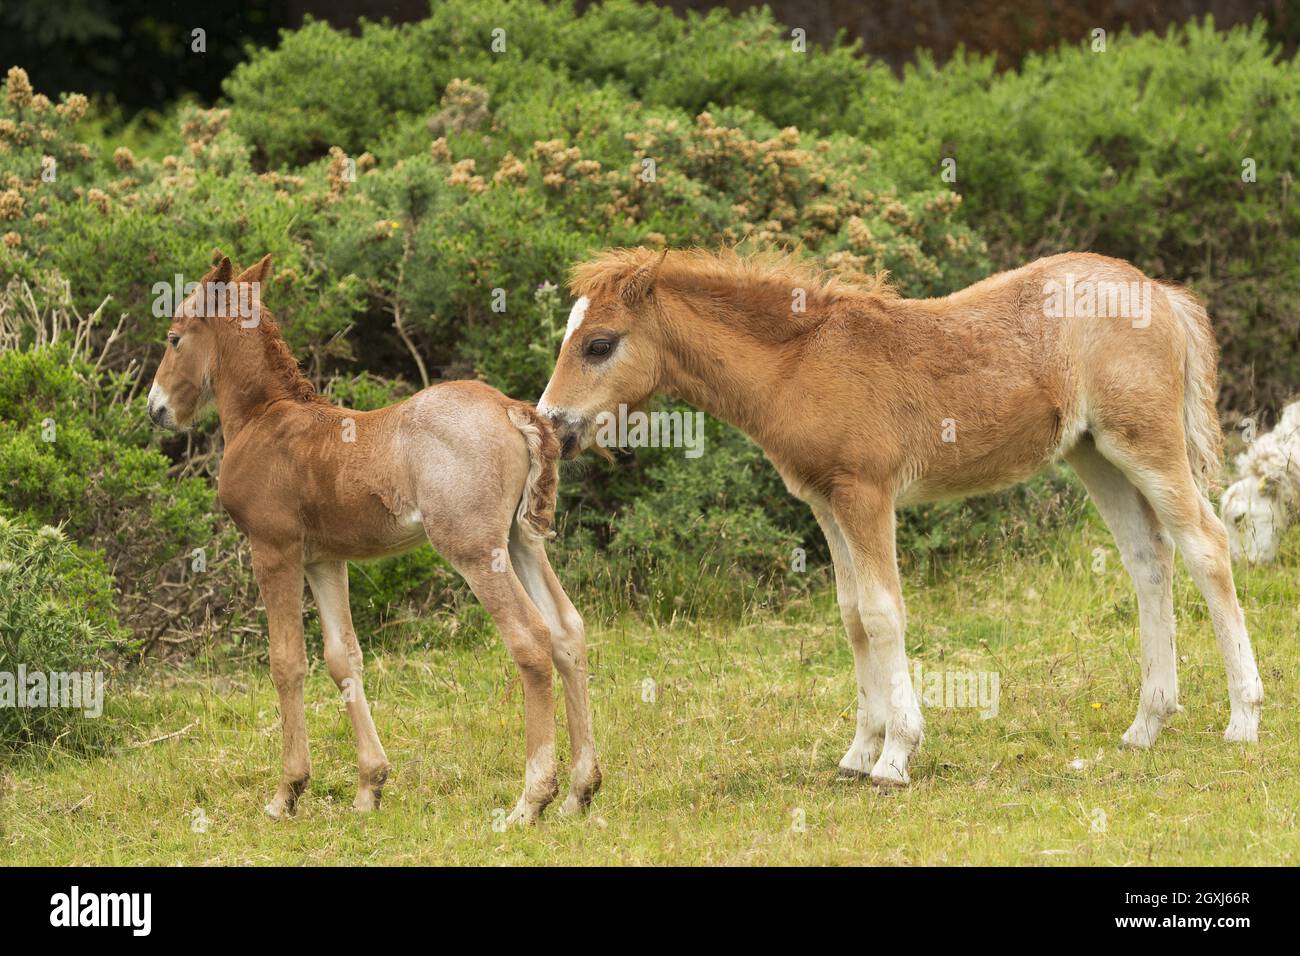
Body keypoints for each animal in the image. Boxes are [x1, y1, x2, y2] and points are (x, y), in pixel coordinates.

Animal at [147, 252, 599, 823]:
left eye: (174, 337)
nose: (156, 409)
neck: (263, 419)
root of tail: (512, 410)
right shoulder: (324, 560)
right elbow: (344, 657)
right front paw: (369, 787)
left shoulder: (274, 550)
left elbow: (286, 661)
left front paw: (286, 793)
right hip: (521, 542)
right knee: (567, 630)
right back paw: (580, 791)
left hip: (475, 550)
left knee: (530, 638)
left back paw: (530, 799)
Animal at [537, 246, 1263, 787]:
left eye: (599, 345)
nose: (554, 427)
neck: (799, 361)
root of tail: (1159, 292)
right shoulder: (826, 503)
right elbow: (853, 615)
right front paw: (859, 751)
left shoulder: (867, 495)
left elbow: (885, 613)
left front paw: (895, 755)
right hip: (1094, 453)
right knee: (1149, 560)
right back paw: (1146, 724)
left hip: (1146, 443)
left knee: (1205, 545)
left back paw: (1244, 718)